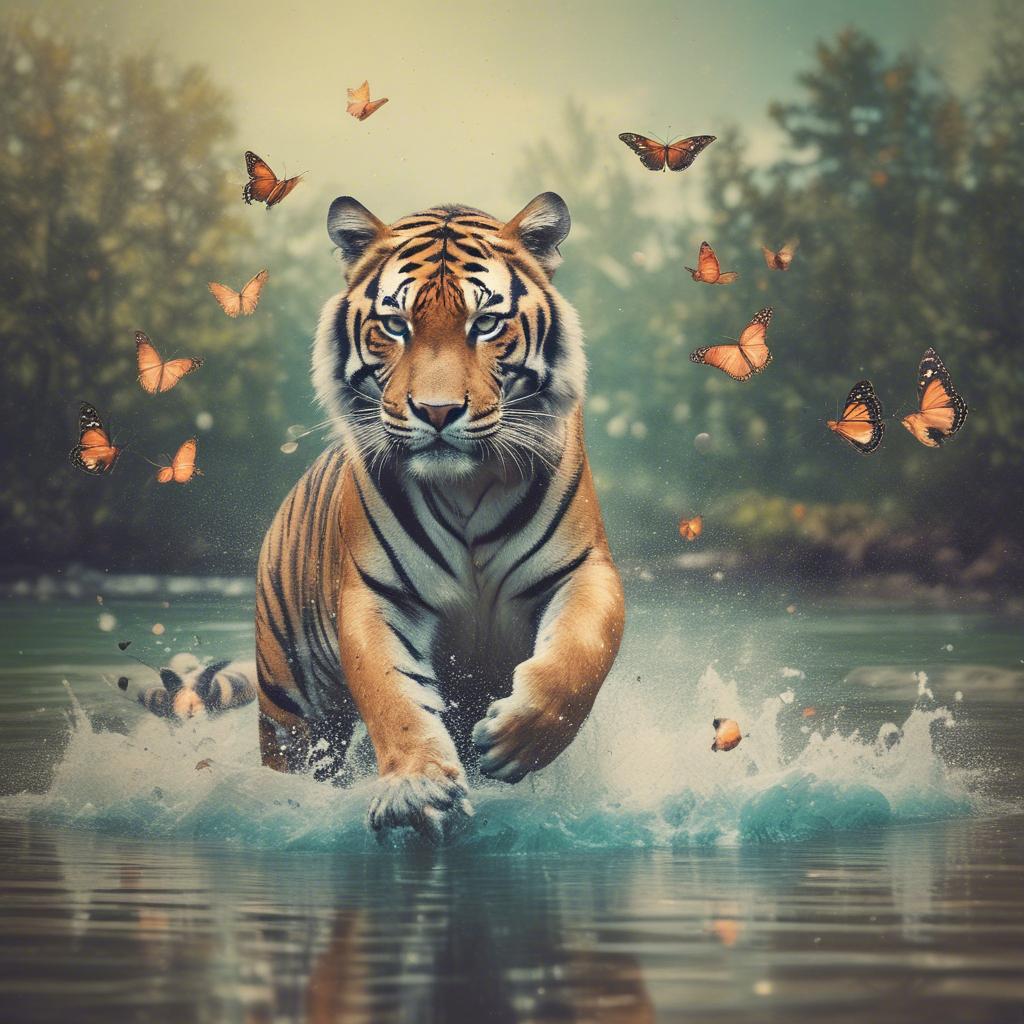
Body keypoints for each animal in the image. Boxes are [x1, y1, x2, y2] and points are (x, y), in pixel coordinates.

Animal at [136, 192, 625, 839]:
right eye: (396, 325)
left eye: (486, 323)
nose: (437, 412)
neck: (465, 486)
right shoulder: (378, 595)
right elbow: (394, 698)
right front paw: (415, 789)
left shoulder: (582, 569)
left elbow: (578, 657)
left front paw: (516, 740)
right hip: (289, 706)